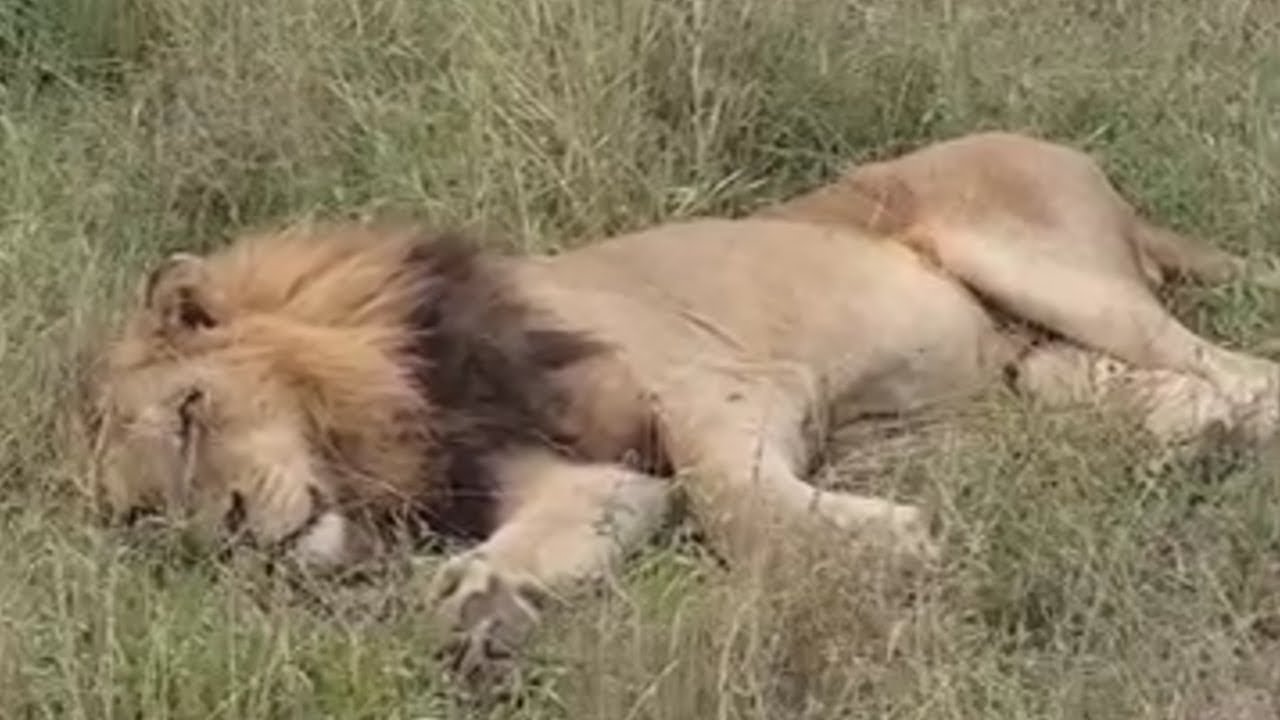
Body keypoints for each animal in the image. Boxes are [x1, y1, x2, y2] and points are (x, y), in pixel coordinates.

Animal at [89, 131, 1280, 688]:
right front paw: (478, 608)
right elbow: (561, 531)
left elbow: (730, 501)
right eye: (147, 522)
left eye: (192, 409)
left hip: (1045, 267)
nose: (235, 529)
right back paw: (1187, 445)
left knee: (1246, 368)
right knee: (1179, 392)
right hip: (1043, 366)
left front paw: (886, 543)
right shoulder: (590, 481)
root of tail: (1086, 166)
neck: (396, 418)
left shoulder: (715, 381)